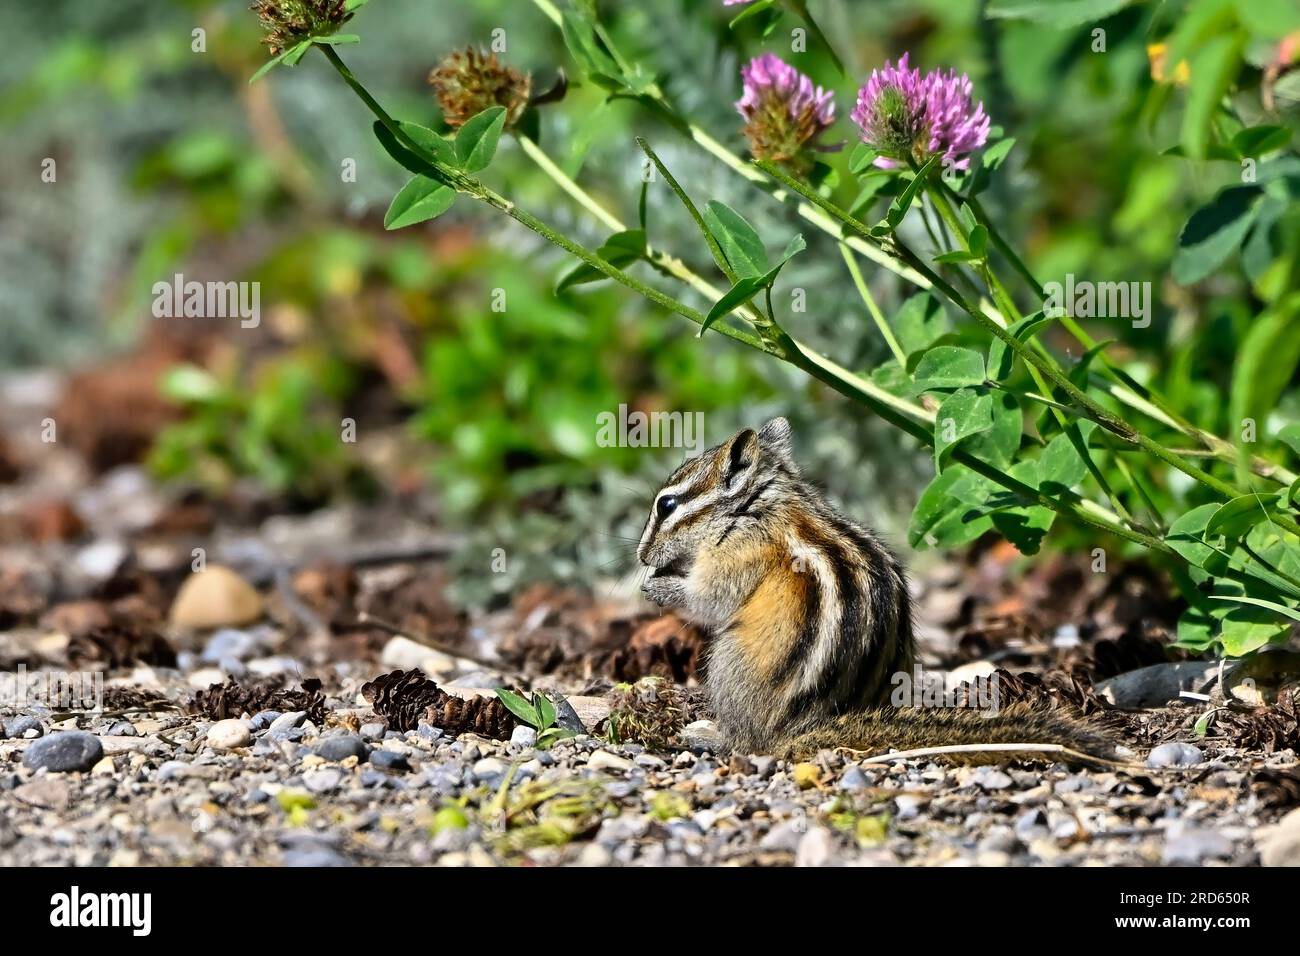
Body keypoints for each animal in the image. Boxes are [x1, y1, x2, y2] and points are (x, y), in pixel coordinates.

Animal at [637, 417, 1116, 763]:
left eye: (668, 505)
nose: (641, 555)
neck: (761, 506)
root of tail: (803, 731)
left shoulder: (738, 556)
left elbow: (708, 599)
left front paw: (659, 586)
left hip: (726, 662)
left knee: (748, 744)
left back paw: (709, 735)